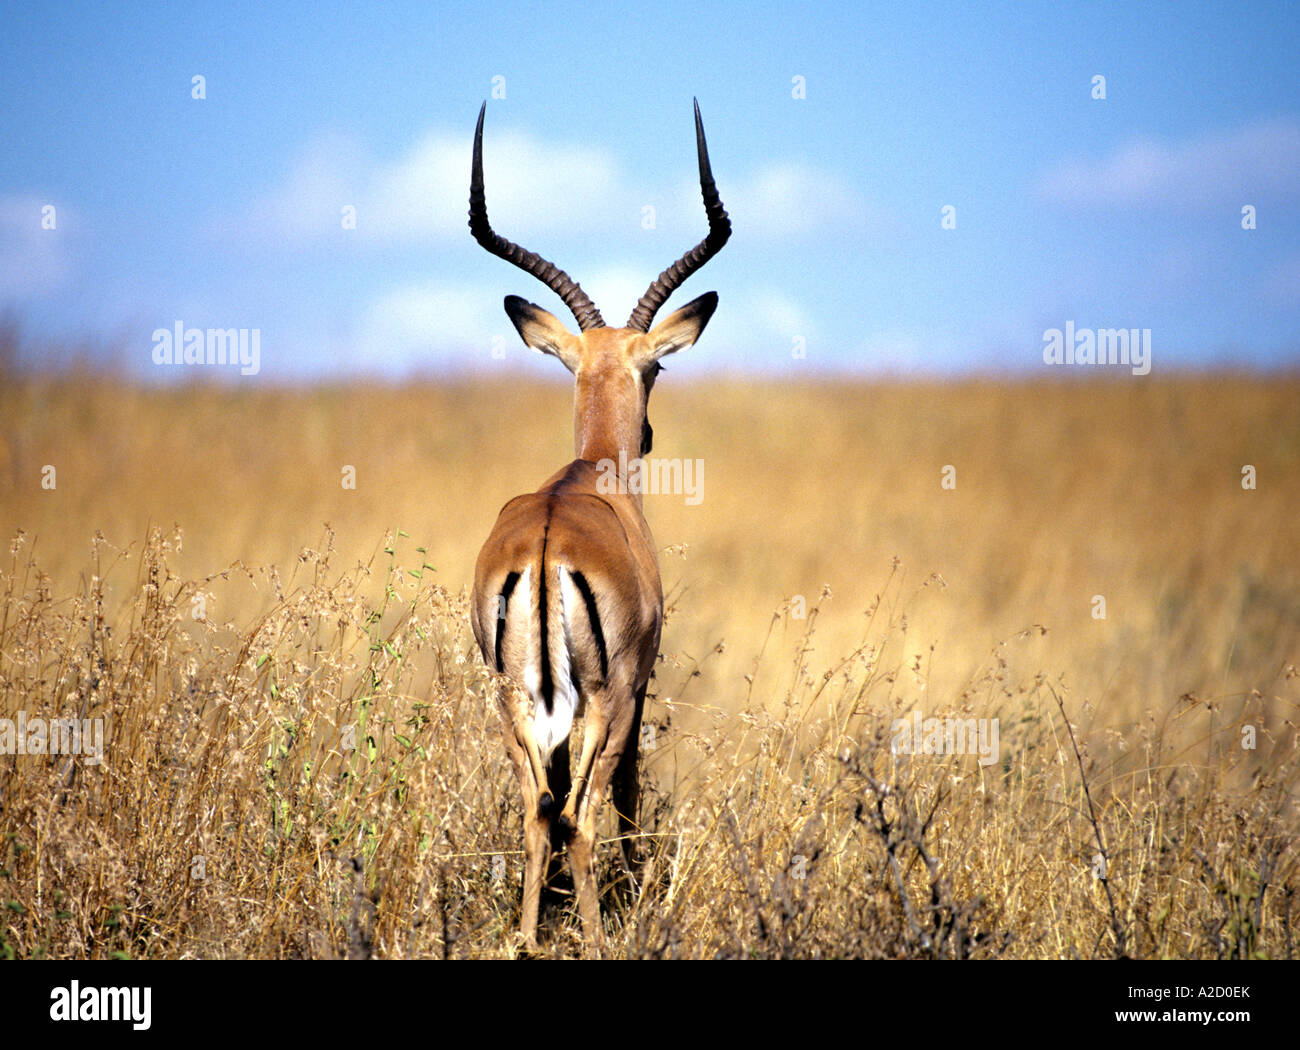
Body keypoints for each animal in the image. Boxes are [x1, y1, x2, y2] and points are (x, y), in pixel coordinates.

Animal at [468, 99, 729, 948]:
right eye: (658, 364)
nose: (647, 433)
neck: (590, 476)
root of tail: (548, 548)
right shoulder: (636, 687)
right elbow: (628, 799)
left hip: (512, 699)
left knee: (536, 814)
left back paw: (526, 937)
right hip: (602, 702)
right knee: (579, 816)